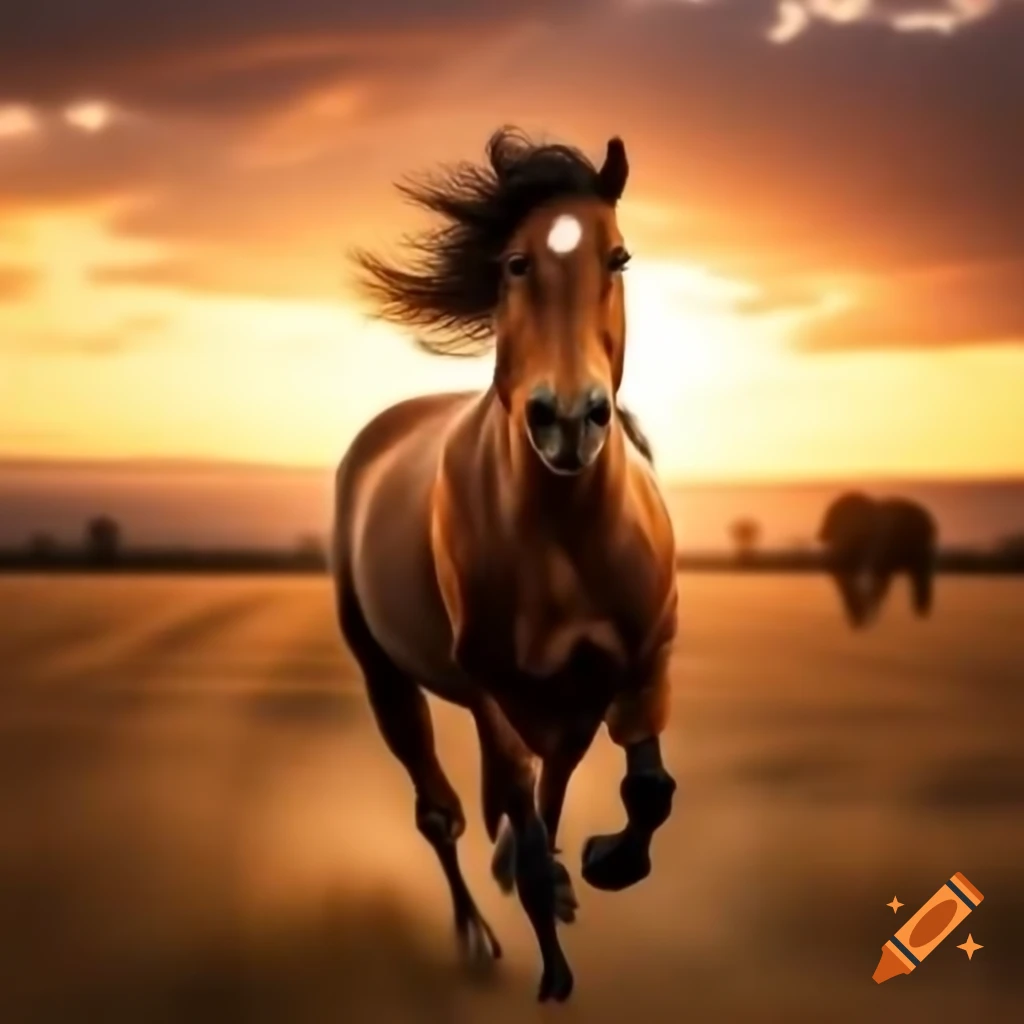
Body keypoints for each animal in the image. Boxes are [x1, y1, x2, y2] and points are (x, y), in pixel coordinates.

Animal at [332, 127, 679, 1003]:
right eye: (516, 263)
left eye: (619, 258)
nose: (568, 421)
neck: (565, 535)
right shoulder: (491, 684)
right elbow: (519, 804)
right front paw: (552, 969)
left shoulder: (642, 662)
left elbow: (646, 789)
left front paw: (603, 861)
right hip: (386, 673)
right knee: (442, 811)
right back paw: (476, 935)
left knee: (545, 785)